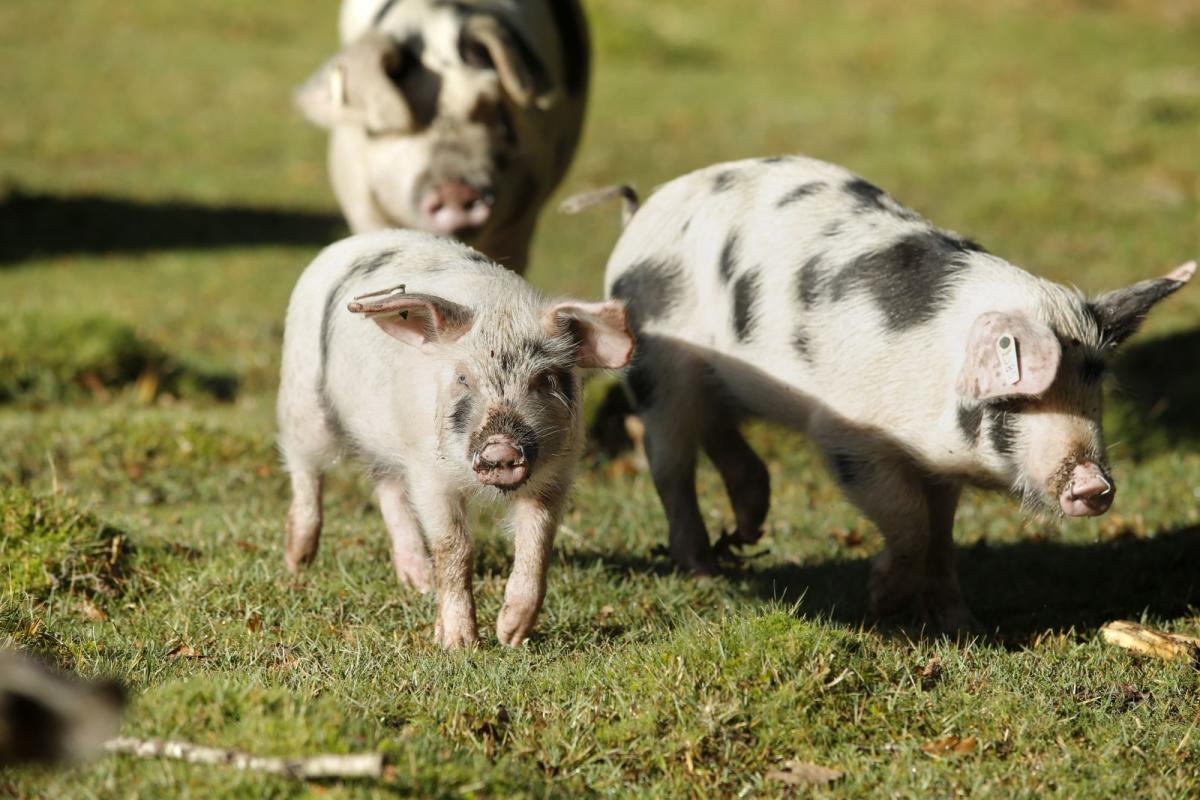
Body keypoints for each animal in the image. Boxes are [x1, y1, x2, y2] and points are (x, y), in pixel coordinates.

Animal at [277, 229, 633, 647]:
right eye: (463, 377)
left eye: (544, 379)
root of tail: (352, 242)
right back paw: (297, 563)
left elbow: (537, 545)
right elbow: (455, 548)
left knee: (387, 487)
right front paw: (459, 644)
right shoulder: (430, 474)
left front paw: (510, 636)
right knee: (306, 471)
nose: (501, 447)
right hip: (303, 400)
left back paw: (418, 584)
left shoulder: (556, 477)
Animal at [597, 155, 1194, 630]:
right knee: (670, 463)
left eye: (1095, 389)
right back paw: (703, 570)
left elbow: (941, 535)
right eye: (1014, 400)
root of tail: (640, 217)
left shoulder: (941, 465)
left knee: (718, 431)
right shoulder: (848, 438)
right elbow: (910, 523)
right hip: (658, 368)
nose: (1094, 485)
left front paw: (961, 623)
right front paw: (882, 602)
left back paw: (746, 530)